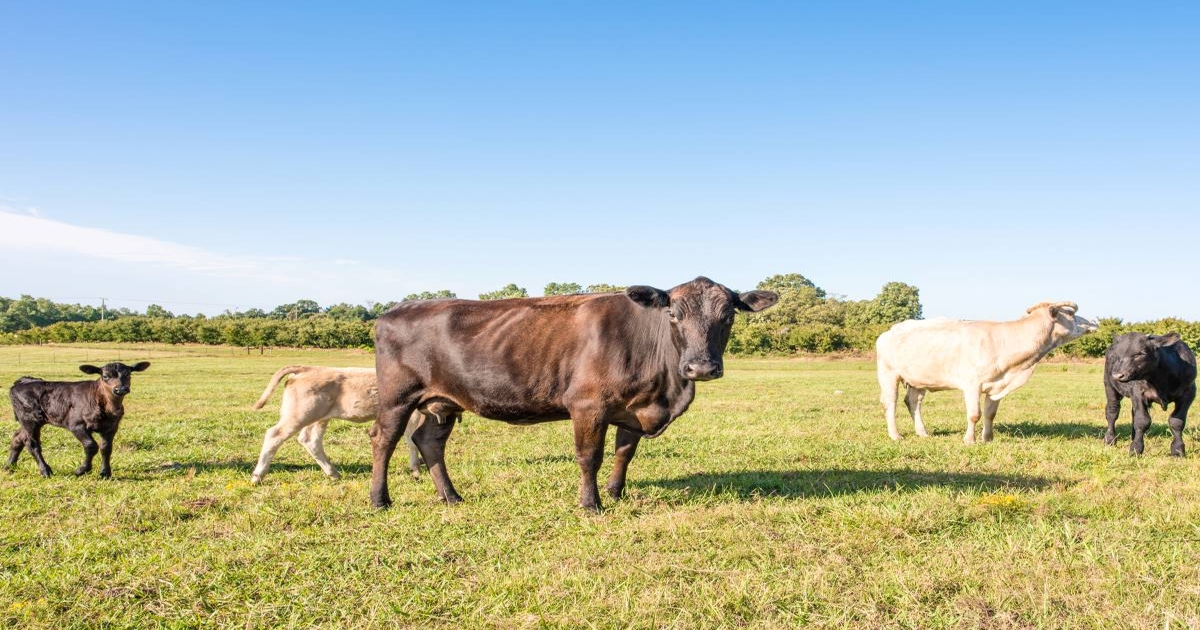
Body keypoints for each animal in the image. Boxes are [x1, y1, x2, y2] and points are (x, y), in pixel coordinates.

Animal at [7, 361, 151, 478]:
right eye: (105, 376)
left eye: (128, 375)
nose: (120, 389)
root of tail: (23, 381)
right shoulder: (76, 425)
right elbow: (91, 446)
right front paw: (81, 470)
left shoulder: (111, 427)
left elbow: (106, 448)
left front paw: (105, 473)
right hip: (29, 419)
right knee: (32, 444)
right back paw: (46, 471)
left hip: (33, 421)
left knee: (18, 437)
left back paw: (9, 466)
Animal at [248, 365, 453, 483]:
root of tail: (309, 369)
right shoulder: (413, 414)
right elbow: (411, 441)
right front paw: (416, 470)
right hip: (299, 414)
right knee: (274, 435)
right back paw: (258, 476)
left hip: (318, 417)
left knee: (310, 440)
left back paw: (333, 473)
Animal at [371, 276, 778, 512]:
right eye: (674, 314)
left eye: (728, 315)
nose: (701, 368)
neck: (664, 390)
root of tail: (393, 311)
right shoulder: (588, 405)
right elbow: (589, 457)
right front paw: (591, 504)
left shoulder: (632, 408)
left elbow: (624, 453)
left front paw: (615, 493)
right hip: (396, 397)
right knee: (383, 440)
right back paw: (380, 500)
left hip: (442, 402)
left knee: (429, 442)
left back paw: (452, 497)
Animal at [876, 301, 1097, 444]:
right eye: (1070, 314)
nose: (1094, 321)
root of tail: (889, 331)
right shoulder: (972, 384)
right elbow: (975, 414)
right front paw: (970, 440)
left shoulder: (997, 385)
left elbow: (990, 413)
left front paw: (988, 438)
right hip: (888, 374)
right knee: (891, 403)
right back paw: (895, 435)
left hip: (918, 379)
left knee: (913, 402)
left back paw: (922, 432)